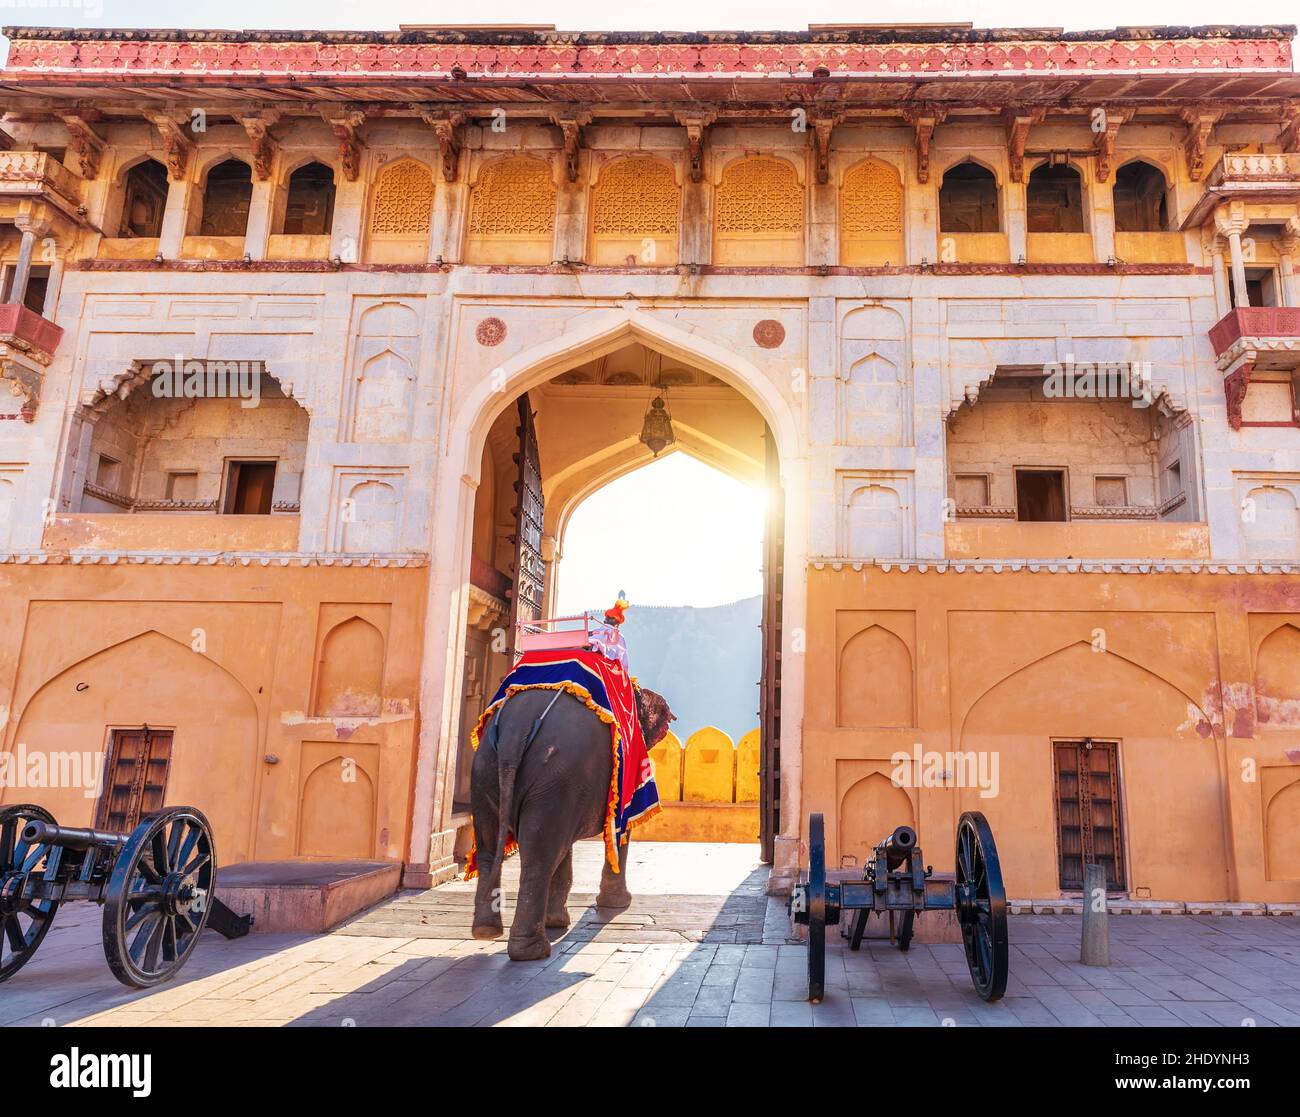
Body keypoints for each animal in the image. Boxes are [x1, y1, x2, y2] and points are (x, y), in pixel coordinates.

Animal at [470, 684, 675, 960]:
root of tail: (515, 730)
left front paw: (557, 922)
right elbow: (619, 832)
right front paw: (618, 904)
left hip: (491, 772)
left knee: (494, 849)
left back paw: (486, 931)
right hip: (554, 776)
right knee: (540, 858)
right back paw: (534, 951)